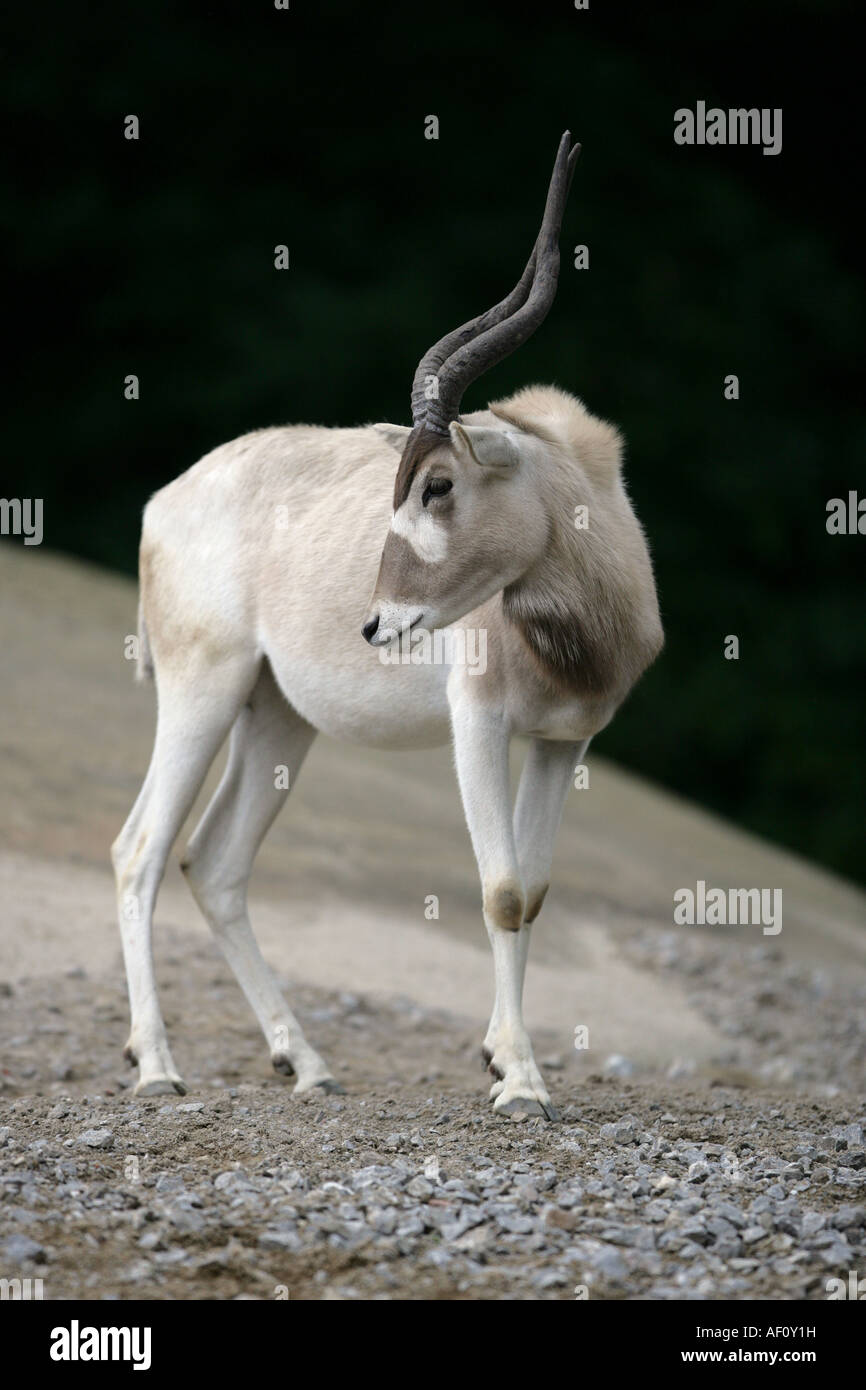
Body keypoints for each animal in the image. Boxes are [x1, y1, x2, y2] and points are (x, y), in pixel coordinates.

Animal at [111, 132, 663, 1118]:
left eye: (438, 483)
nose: (374, 625)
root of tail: (164, 502)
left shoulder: (564, 742)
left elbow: (535, 890)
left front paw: (502, 1060)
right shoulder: (479, 723)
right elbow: (500, 889)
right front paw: (521, 1081)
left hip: (275, 716)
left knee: (214, 861)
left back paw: (308, 1063)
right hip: (201, 690)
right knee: (140, 851)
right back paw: (160, 1065)